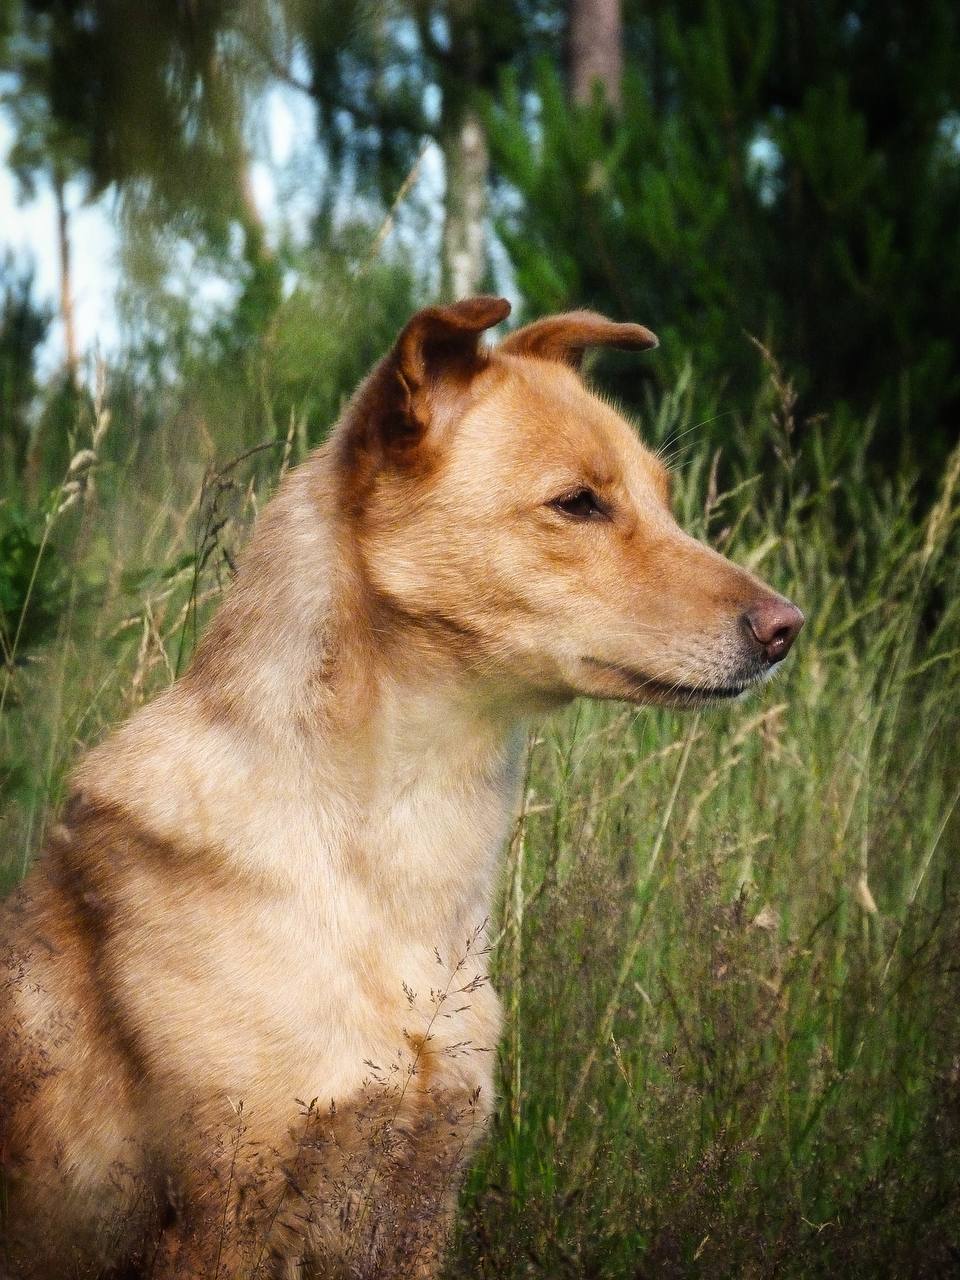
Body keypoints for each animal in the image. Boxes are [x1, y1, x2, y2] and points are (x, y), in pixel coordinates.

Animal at [0, 294, 803, 1274]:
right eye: (577, 503)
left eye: (664, 498)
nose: (787, 627)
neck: (394, 861)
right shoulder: (222, 1215)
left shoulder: (422, 1194)